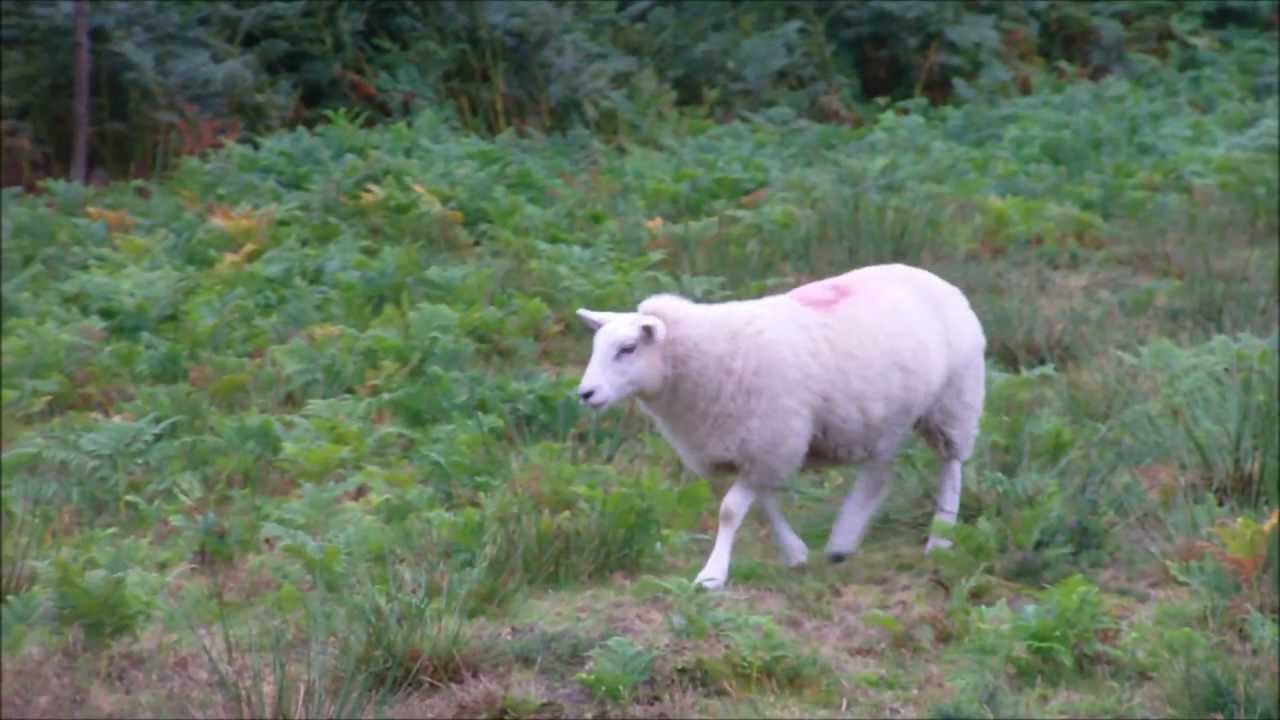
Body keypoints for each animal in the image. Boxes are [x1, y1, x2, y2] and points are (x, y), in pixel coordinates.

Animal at [575, 263, 986, 590]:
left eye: (628, 349)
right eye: (595, 347)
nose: (585, 393)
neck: (705, 357)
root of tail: (936, 280)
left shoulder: (771, 440)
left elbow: (730, 511)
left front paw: (712, 575)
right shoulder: (756, 449)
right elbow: (762, 504)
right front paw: (794, 553)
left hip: (954, 400)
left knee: (950, 467)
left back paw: (939, 539)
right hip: (882, 418)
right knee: (879, 473)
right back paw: (843, 539)